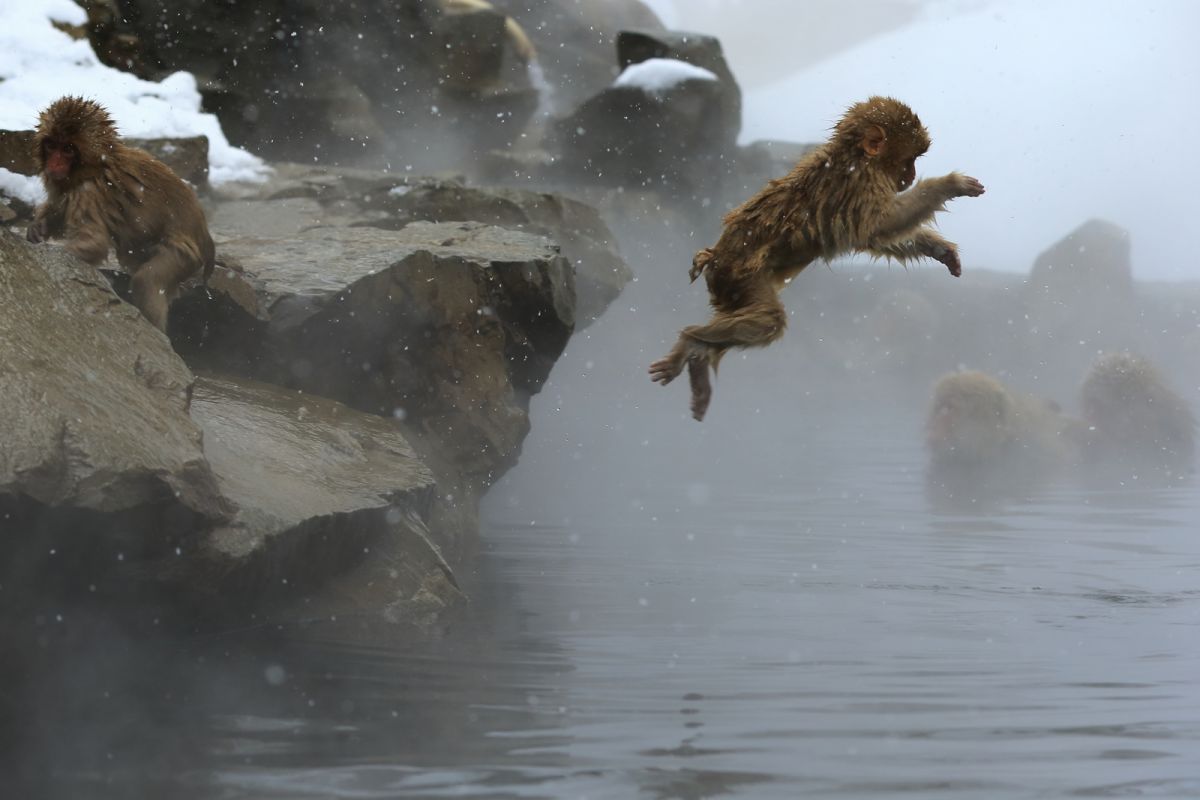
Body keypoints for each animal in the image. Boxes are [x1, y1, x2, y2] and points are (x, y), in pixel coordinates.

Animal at [27, 96, 214, 333]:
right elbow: (59, 209)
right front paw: (38, 226)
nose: (55, 163)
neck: (99, 163)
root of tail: (205, 237)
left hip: (184, 254)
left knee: (147, 281)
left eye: (68, 149)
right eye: (51, 145)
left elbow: (93, 243)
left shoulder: (88, 192)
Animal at [649, 96, 984, 421]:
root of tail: (714, 257)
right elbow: (881, 225)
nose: (912, 175)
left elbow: (873, 235)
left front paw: (942, 251)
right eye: (910, 159)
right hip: (737, 276)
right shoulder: (859, 183)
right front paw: (951, 184)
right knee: (768, 319)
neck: (856, 158)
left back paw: (697, 358)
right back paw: (692, 340)